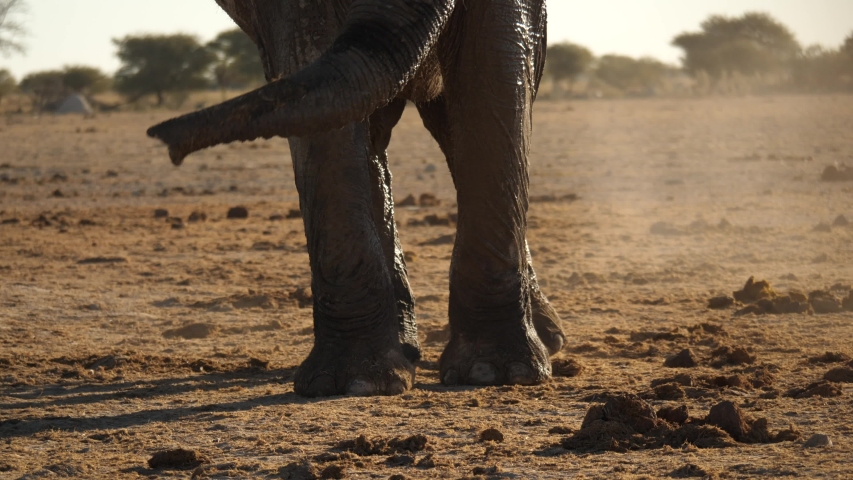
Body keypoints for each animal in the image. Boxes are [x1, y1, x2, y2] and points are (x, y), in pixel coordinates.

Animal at [148, 0, 566, 397]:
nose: (164, 139)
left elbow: (491, 71)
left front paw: (493, 373)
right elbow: (312, 59)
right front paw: (354, 384)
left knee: (444, 128)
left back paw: (545, 340)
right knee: (373, 129)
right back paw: (404, 351)